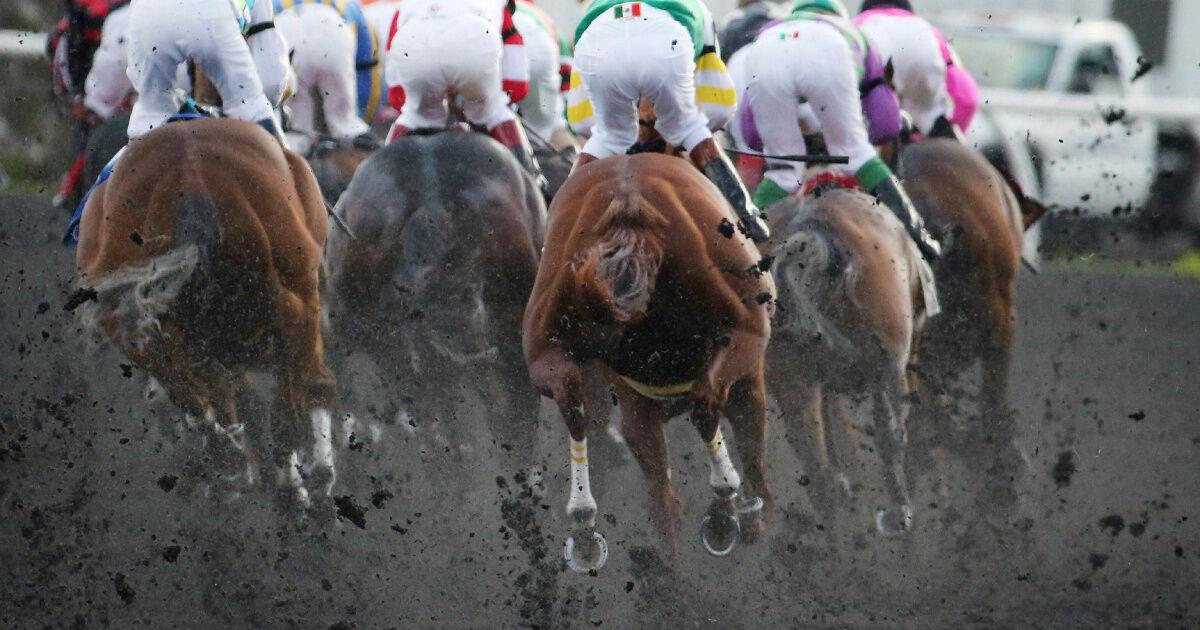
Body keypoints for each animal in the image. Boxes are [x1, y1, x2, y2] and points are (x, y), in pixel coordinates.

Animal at [73, 117, 337, 516]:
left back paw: (232, 463)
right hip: (292, 306)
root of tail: (190, 176)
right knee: (284, 407)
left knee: (195, 394)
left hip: (136, 323)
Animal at [764, 178, 938, 537]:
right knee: (890, 436)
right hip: (887, 363)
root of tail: (811, 233)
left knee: (819, 472)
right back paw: (899, 513)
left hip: (792, 383)